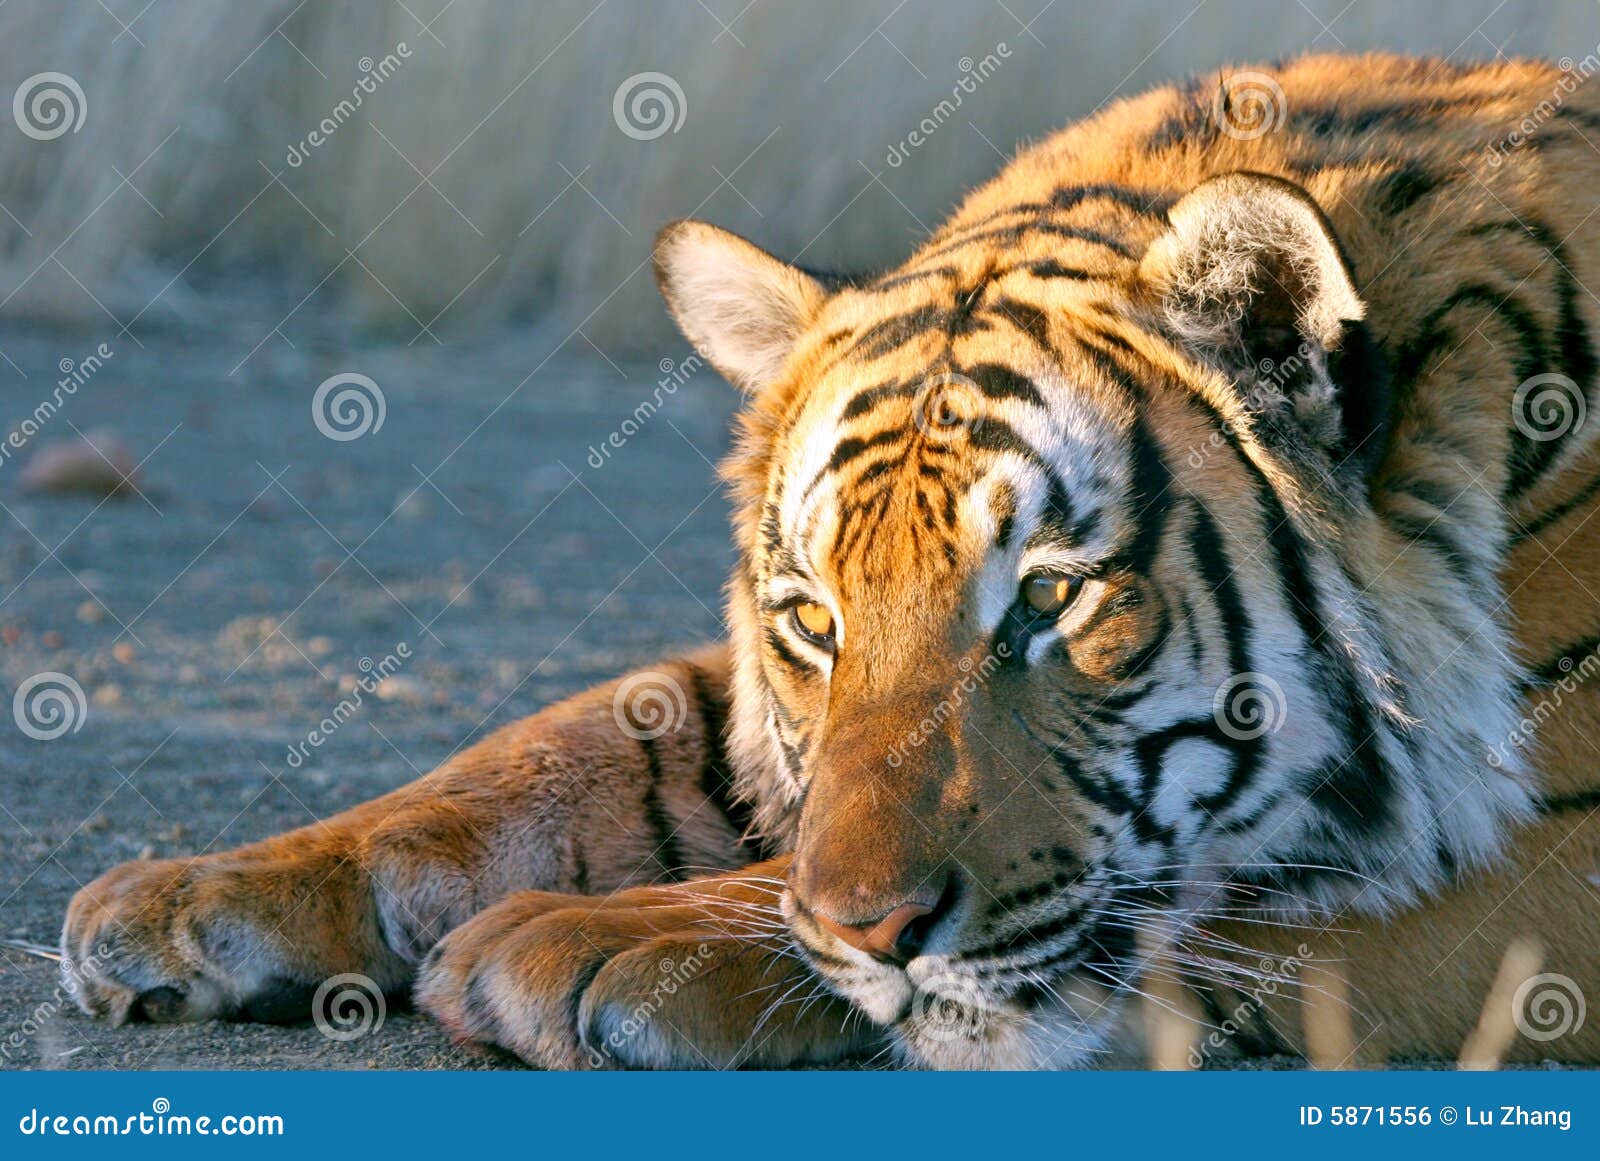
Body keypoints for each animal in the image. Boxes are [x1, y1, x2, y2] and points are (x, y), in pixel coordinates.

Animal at [61, 52, 1600, 1070]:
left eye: (1053, 596)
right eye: (813, 622)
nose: (868, 934)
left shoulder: (1545, 866)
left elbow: (1191, 923)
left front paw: (590, 943)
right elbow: (559, 746)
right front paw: (187, 896)